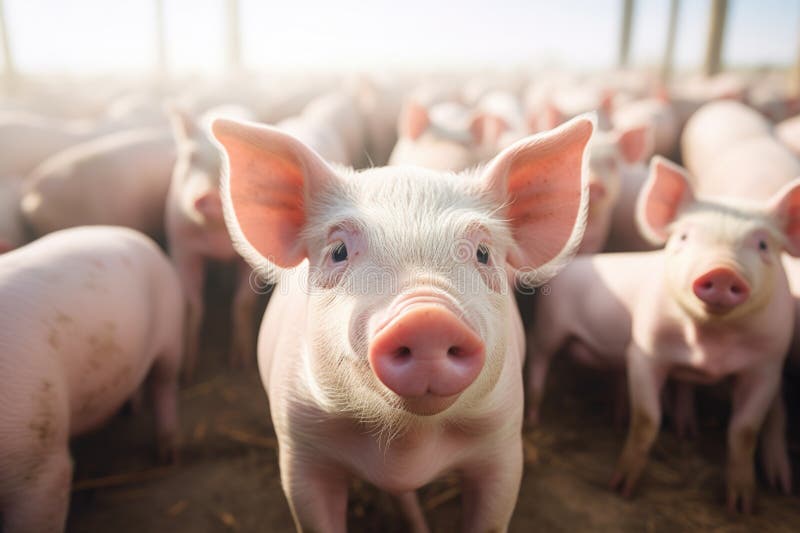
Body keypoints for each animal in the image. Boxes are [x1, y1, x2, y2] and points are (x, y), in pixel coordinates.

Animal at [165, 107, 258, 375]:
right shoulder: (181, 246)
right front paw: (188, 370)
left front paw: (240, 364)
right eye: (191, 157)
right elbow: (192, 305)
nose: (212, 195)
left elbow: (242, 303)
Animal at [211, 114, 595, 531]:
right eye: (338, 251)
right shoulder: (300, 447)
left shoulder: (504, 444)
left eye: (482, 253)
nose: (427, 316)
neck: (407, 445)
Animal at [527, 157, 800, 512]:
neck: (711, 343)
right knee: (539, 360)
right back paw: (534, 417)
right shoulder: (644, 349)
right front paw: (622, 488)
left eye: (764, 244)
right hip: (549, 326)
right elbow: (647, 419)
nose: (722, 271)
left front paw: (741, 506)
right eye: (684, 237)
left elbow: (743, 431)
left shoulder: (766, 365)